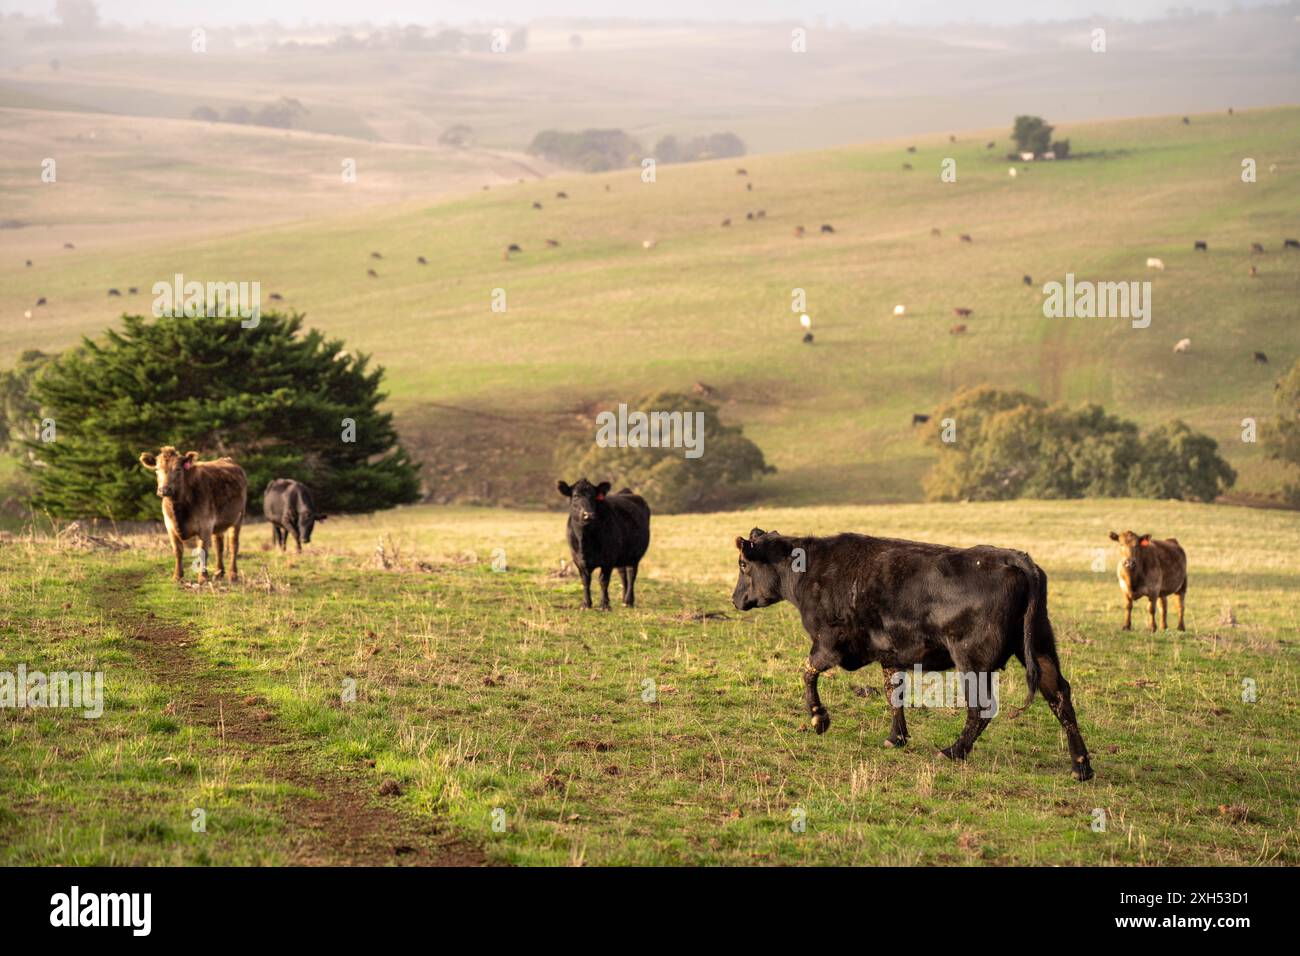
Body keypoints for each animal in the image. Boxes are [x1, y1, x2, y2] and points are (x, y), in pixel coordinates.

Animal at [138, 447, 247, 582]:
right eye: (157, 469)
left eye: (178, 469)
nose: (164, 490)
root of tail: (227, 459)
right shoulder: (169, 526)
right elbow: (177, 551)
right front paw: (177, 576)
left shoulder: (205, 526)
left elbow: (202, 551)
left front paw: (203, 577)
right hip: (218, 524)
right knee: (219, 546)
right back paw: (218, 572)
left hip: (238, 517)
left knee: (233, 545)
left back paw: (233, 574)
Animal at [556, 479, 650, 610]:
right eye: (576, 496)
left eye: (594, 496)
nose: (588, 514)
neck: (585, 541)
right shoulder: (578, 560)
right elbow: (585, 581)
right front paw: (586, 604)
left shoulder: (608, 560)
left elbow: (603, 581)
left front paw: (605, 605)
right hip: (621, 557)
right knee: (623, 575)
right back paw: (623, 599)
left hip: (634, 556)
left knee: (631, 574)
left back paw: (628, 601)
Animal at [731, 528, 1094, 780]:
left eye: (743, 564)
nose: (735, 599)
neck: (810, 570)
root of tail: (1013, 558)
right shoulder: (890, 656)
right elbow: (894, 695)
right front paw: (897, 738)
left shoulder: (828, 644)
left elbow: (807, 672)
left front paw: (819, 718)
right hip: (1041, 647)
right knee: (1059, 696)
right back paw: (1081, 766)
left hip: (972, 661)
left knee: (981, 708)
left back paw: (953, 751)